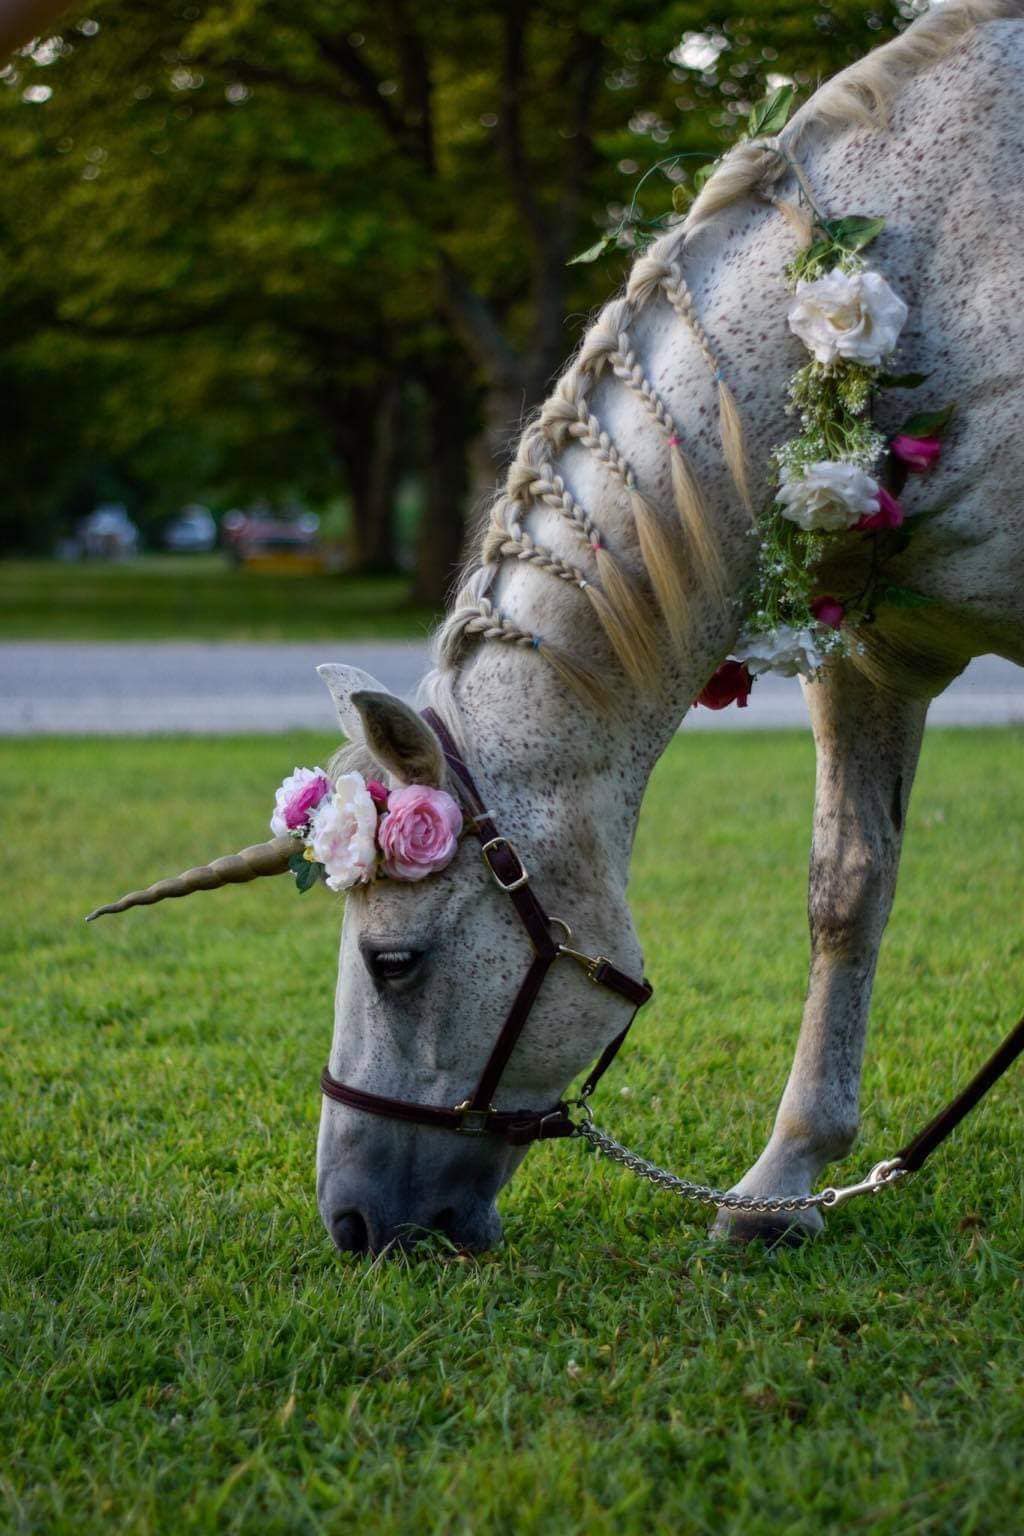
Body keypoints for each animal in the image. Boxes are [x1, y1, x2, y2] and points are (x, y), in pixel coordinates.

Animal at [90, 0, 1024, 1254]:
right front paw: (782, 1182)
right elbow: (845, 889)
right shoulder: (872, 657)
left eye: (393, 963)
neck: (931, 286)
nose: (350, 1221)